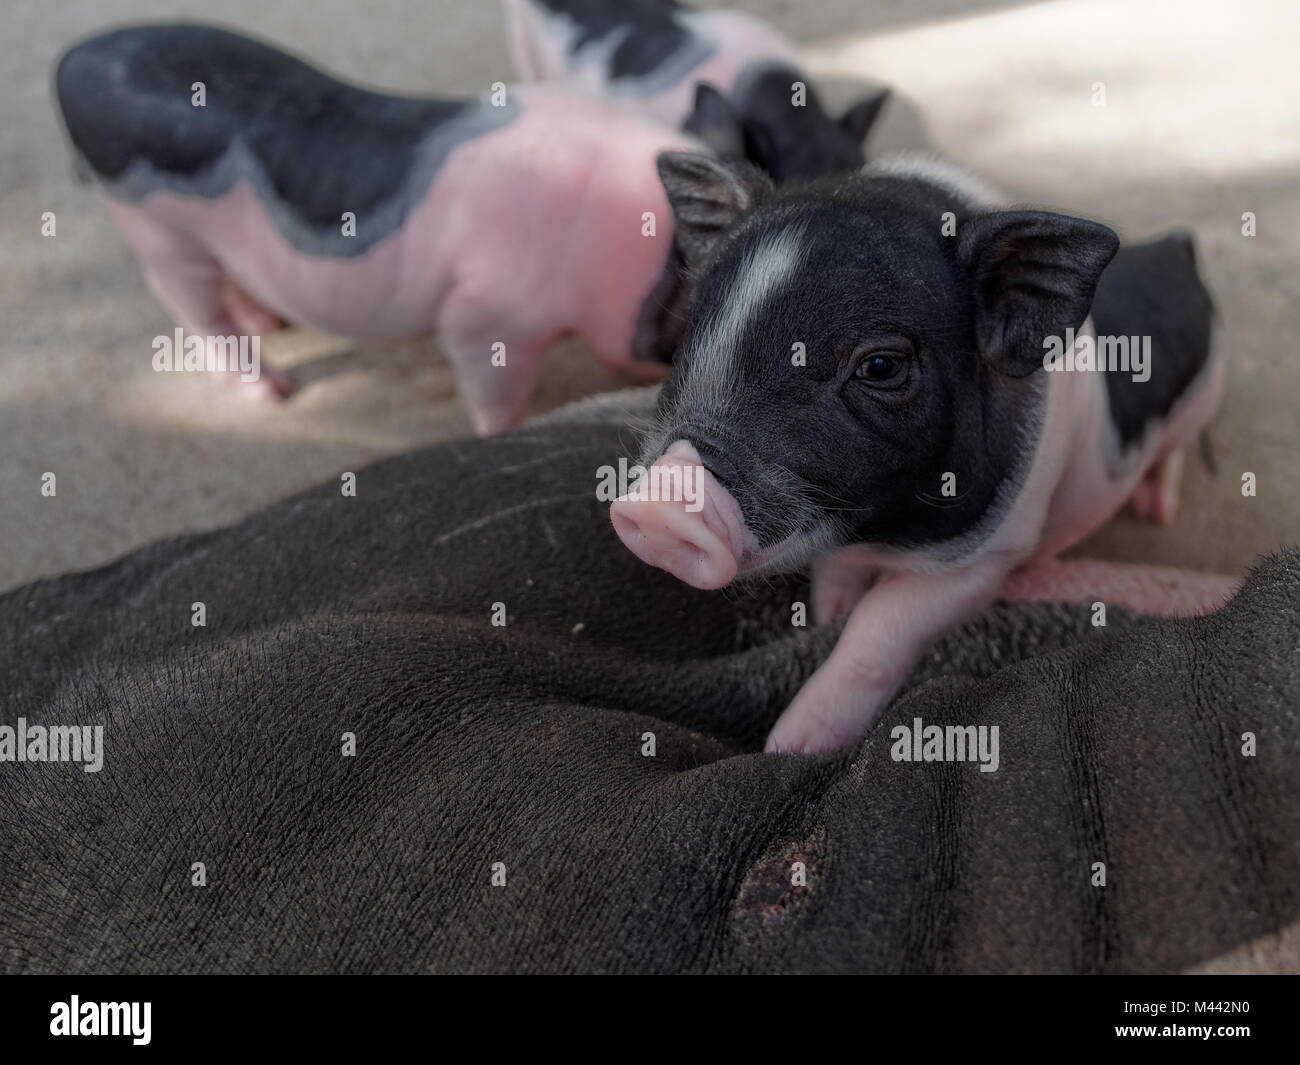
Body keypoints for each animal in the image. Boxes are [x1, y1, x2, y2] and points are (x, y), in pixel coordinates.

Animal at [55, 22, 701, 433]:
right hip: (157, 230)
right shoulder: (487, 314)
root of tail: (72, 63)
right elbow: (491, 389)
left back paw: (273, 321)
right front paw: (502, 433)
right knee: (191, 307)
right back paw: (276, 392)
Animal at [610, 151, 1224, 754]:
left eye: (881, 366)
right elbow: (836, 581)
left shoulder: (988, 555)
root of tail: (1176, 244)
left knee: (1174, 452)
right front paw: (824, 619)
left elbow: (878, 631)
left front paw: (793, 746)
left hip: (1200, 403)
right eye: (692, 334)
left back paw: (1156, 510)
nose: (660, 499)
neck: (880, 535)